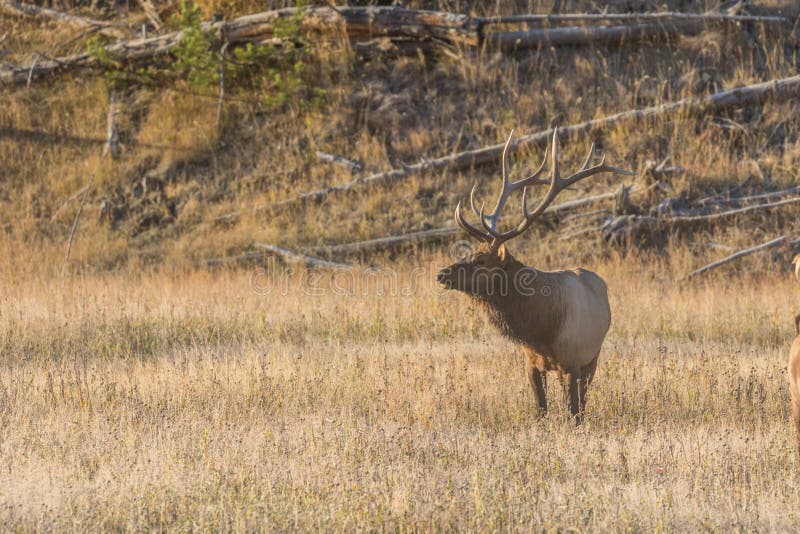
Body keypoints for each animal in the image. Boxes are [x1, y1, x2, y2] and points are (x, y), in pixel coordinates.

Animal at [436, 129, 633, 422]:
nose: (441, 274)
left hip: (593, 357)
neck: (541, 331)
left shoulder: (573, 362)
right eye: (470, 253)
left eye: (481, 261)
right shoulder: (531, 363)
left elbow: (573, 412)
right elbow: (540, 410)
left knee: (583, 402)